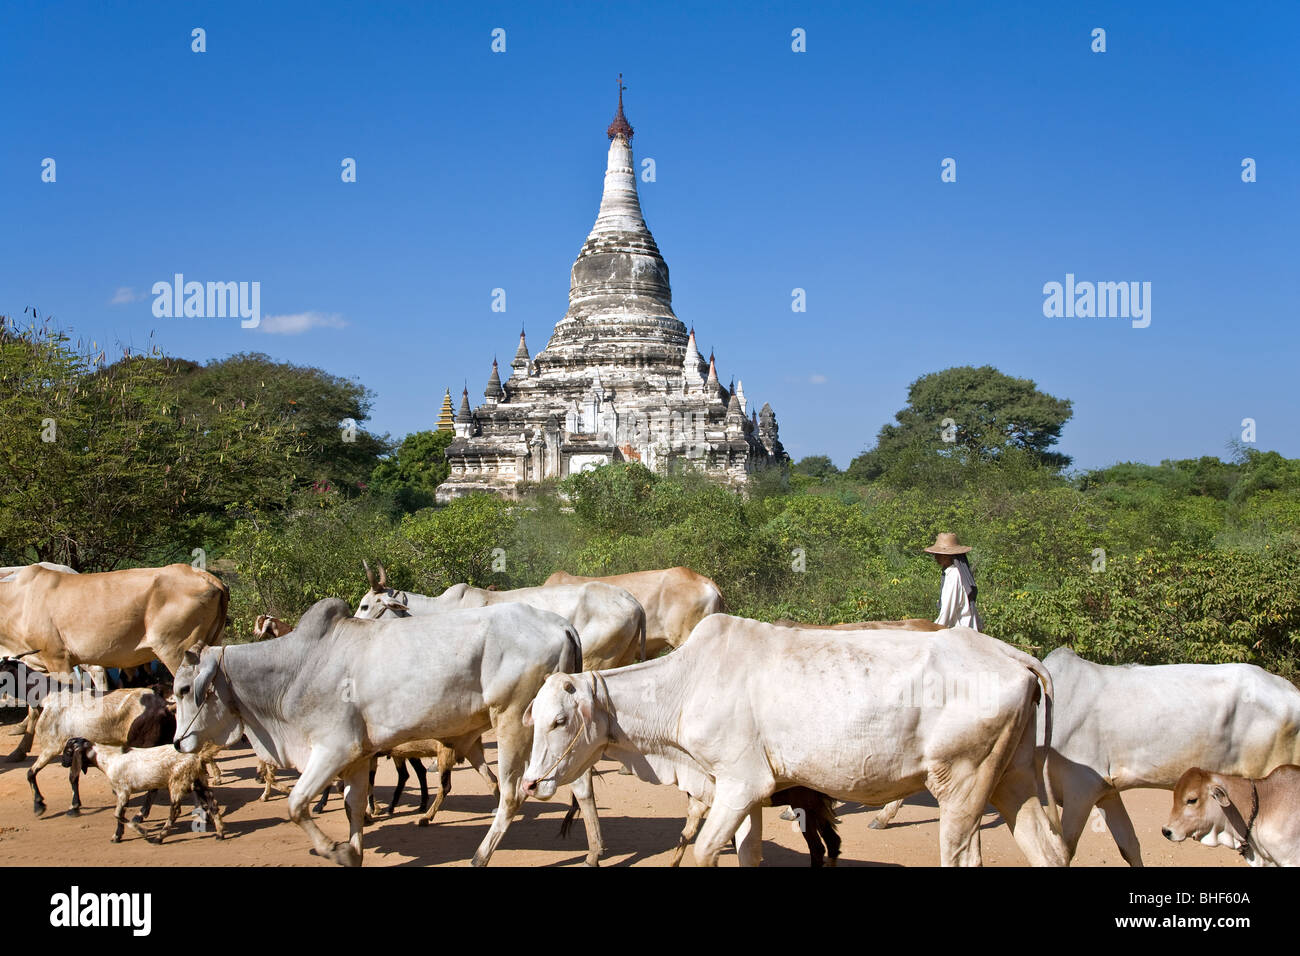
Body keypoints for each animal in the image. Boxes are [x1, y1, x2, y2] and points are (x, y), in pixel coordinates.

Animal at [172, 597, 601, 867]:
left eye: (183, 689)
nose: (178, 742)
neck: (296, 668)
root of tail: (561, 624)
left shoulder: (332, 750)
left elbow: (296, 805)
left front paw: (337, 850)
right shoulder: (359, 757)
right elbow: (353, 808)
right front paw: (353, 852)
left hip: (513, 720)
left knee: (511, 795)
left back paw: (480, 856)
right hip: (556, 734)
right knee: (579, 786)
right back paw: (595, 852)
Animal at [521, 614, 1068, 867]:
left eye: (559, 721)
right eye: (535, 718)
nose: (529, 784)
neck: (687, 684)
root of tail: (1012, 655)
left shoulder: (739, 785)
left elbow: (703, 851)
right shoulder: (750, 795)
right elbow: (748, 856)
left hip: (962, 786)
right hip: (1011, 780)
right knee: (1049, 852)